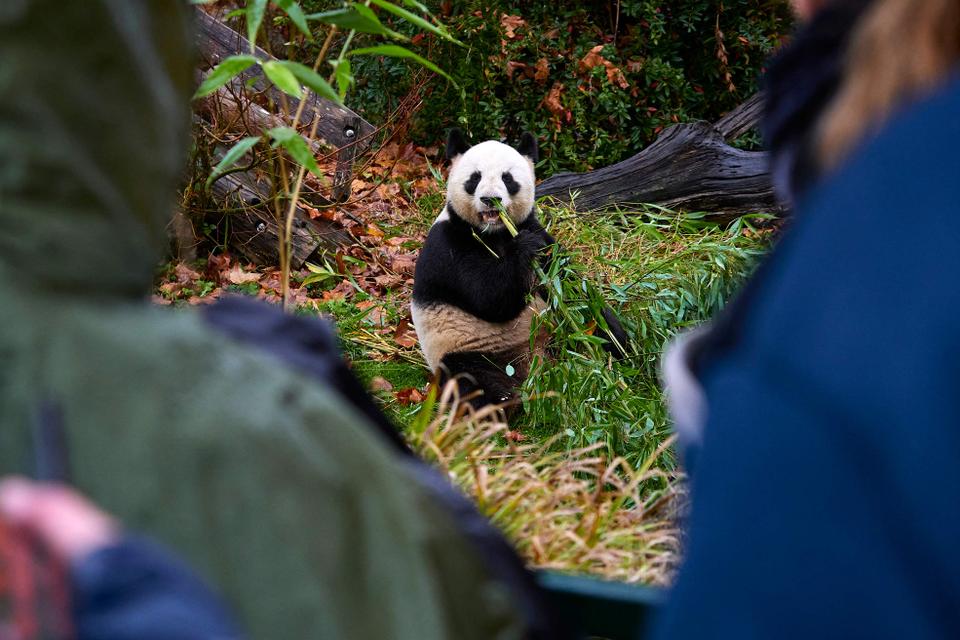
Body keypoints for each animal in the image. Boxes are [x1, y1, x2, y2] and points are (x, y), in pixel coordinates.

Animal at [411, 129, 627, 410]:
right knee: (474, 382)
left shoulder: (537, 231)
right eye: (475, 178)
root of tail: (535, 364)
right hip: (466, 349)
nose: (490, 199)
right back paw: (502, 405)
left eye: (508, 178)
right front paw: (524, 248)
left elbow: (567, 284)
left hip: (559, 331)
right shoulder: (449, 245)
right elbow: (489, 298)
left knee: (596, 324)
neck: (496, 233)